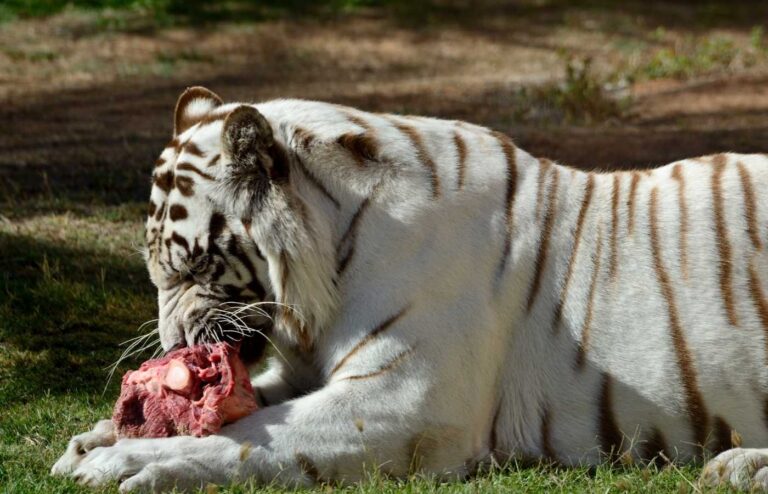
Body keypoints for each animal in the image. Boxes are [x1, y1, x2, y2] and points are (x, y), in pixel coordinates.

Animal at [52, 86, 768, 492]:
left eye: (194, 269)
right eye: (156, 272)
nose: (174, 345)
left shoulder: (405, 400)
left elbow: (254, 436)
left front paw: (126, 463)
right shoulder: (313, 371)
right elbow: (253, 410)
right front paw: (99, 437)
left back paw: (736, 468)